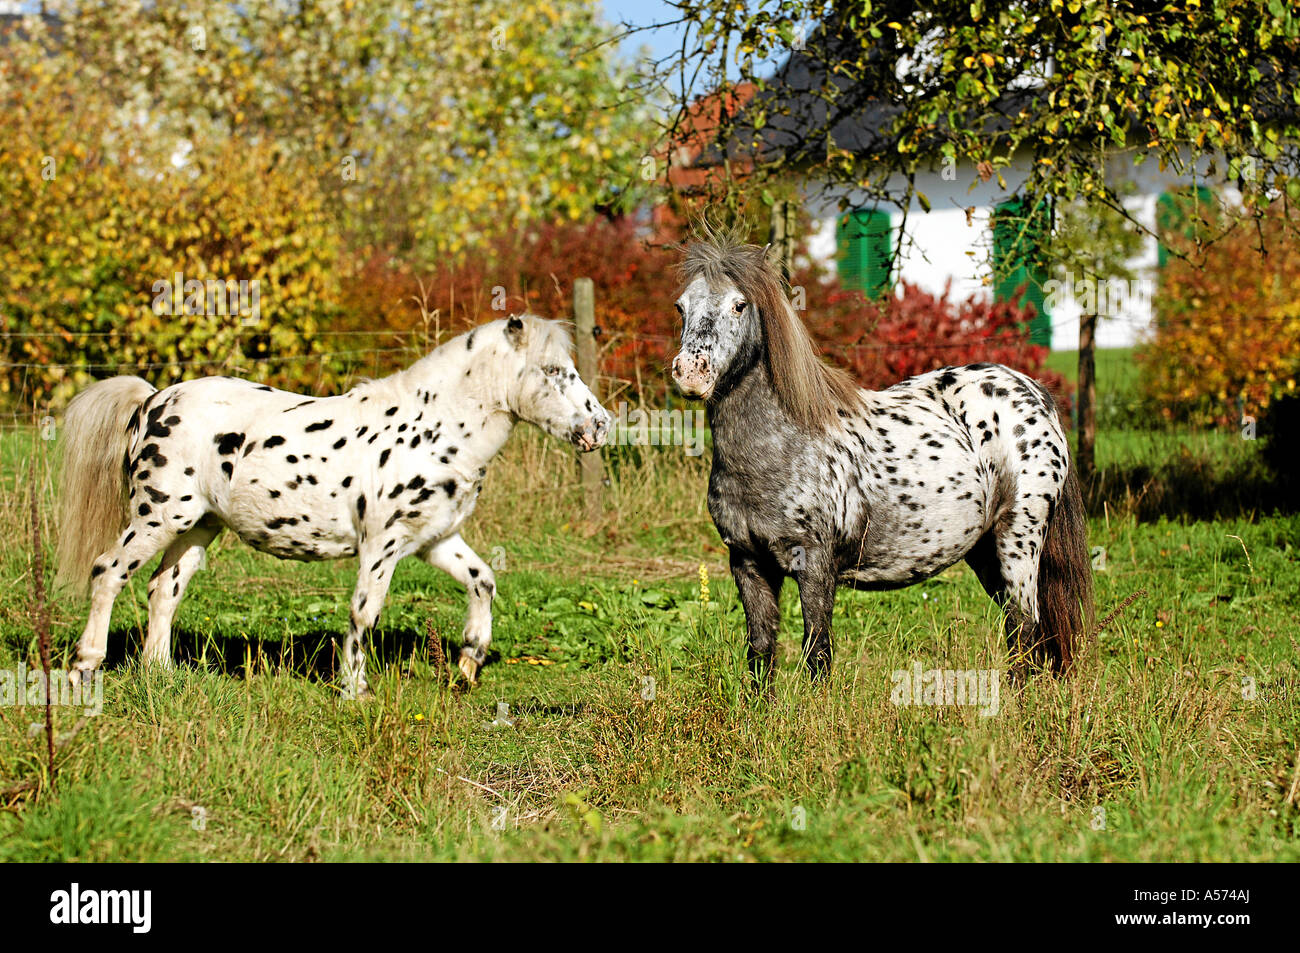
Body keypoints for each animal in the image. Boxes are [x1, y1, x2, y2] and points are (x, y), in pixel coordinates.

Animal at [55, 315, 610, 697]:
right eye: (554, 371)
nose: (600, 427)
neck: (433, 430)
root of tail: (152, 400)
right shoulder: (381, 544)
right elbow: (365, 612)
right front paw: (355, 690)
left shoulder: (434, 539)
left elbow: (482, 580)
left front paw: (469, 661)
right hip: (157, 517)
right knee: (108, 572)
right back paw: (85, 667)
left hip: (197, 526)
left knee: (163, 590)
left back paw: (161, 674)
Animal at [669, 228, 1093, 695]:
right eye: (681, 306)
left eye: (739, 304)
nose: (691, 373)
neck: (780, 446)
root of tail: (1035, 392)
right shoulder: (748, 564)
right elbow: (760, 651)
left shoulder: (814, 564)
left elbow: (817, 651)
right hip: (986, 550)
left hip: (1019, 539)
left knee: (1025, 628)